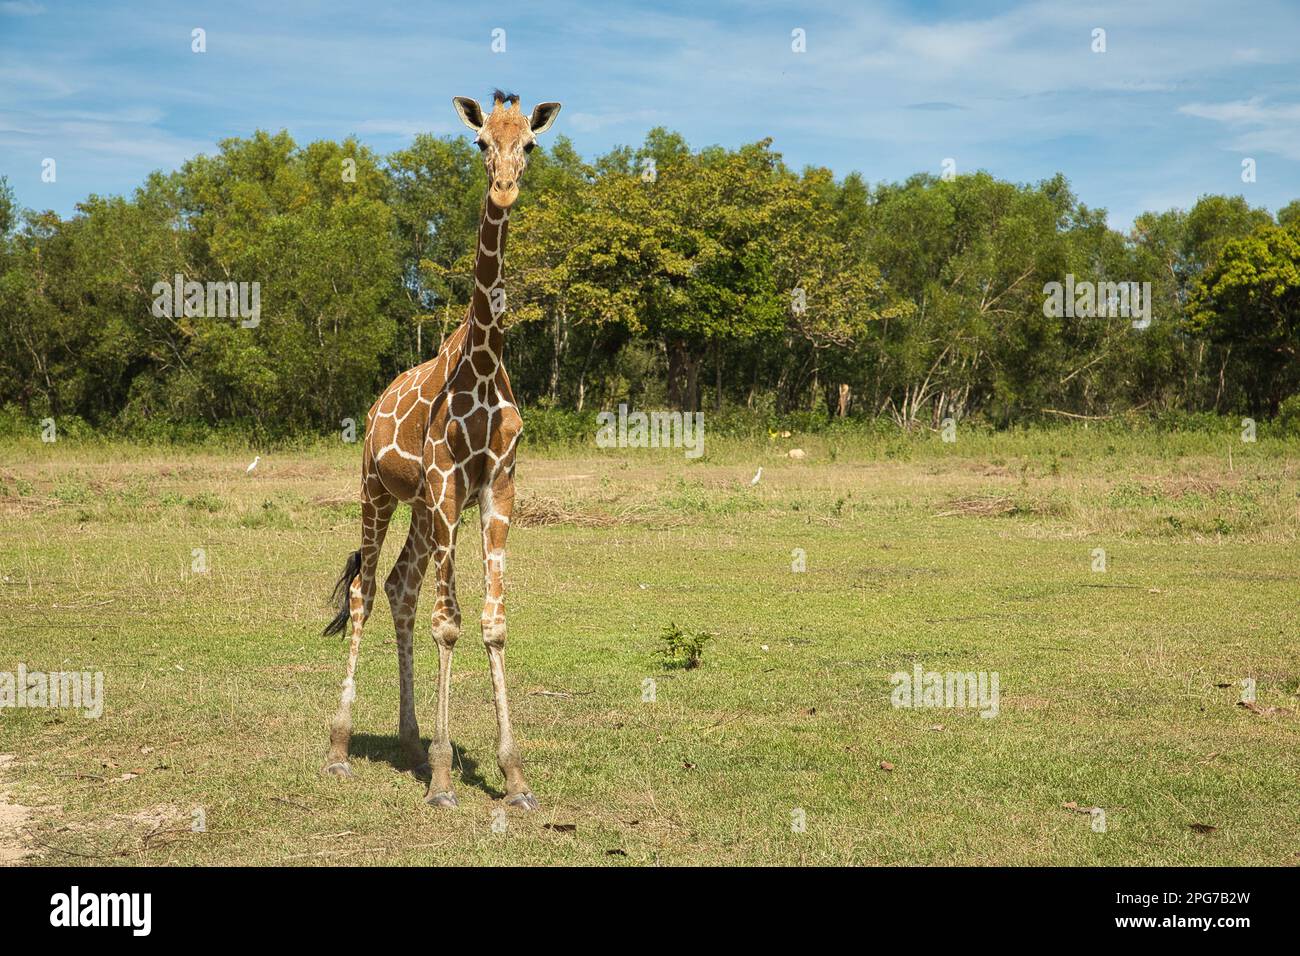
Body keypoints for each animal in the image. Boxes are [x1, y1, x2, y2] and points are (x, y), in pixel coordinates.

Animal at [321, 91, 561, 811]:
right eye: (481, 142)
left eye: (529, 144)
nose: (504, 188)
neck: (481, 366)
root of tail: (376, 403)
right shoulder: (450, 481)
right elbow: (449, 620)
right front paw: (446, 780)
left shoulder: (498, 485)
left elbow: (492, 622)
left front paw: (514, 778)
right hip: (376, 491)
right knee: (368, 589)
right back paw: (340, 748)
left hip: (423, 508)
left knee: (402, 587)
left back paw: (407, 740)